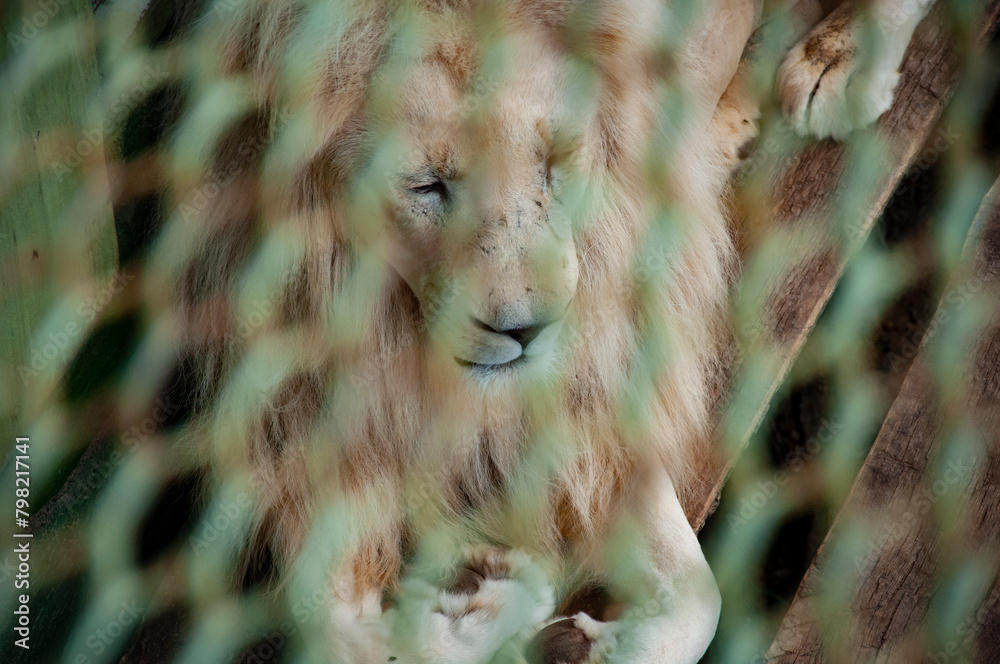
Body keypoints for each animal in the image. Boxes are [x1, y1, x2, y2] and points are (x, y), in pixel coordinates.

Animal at [158, 0, 930, 662]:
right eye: (426, 185)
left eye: (556, 163)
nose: (528, 334)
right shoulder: (317, 422)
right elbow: (329, 621)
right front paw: (492, 601)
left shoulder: (595, 408)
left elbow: (698, 601)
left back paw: (839, 66)